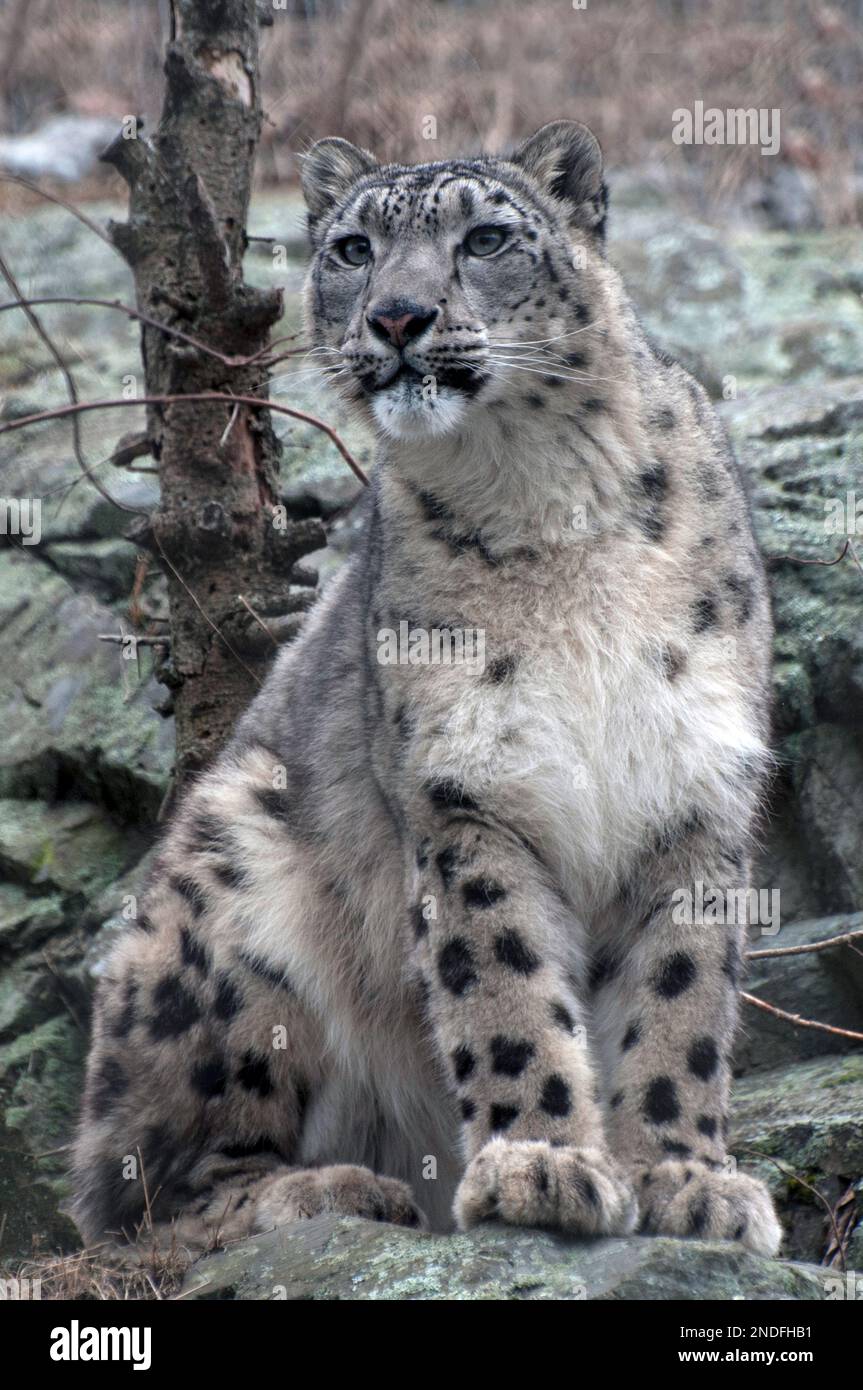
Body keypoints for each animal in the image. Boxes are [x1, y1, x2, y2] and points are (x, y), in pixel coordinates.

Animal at [71, 121, 782, 1259]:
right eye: (354, 248)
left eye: (486, 236)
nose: (398, 316)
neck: (541, 496)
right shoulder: (465, 797)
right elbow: (504, 989)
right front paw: (542, 1166)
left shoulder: (693, 791)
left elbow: (678, 1002)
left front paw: (686, 1179)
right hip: (223, 890)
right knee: (152, 1191)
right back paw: (330, 1191)